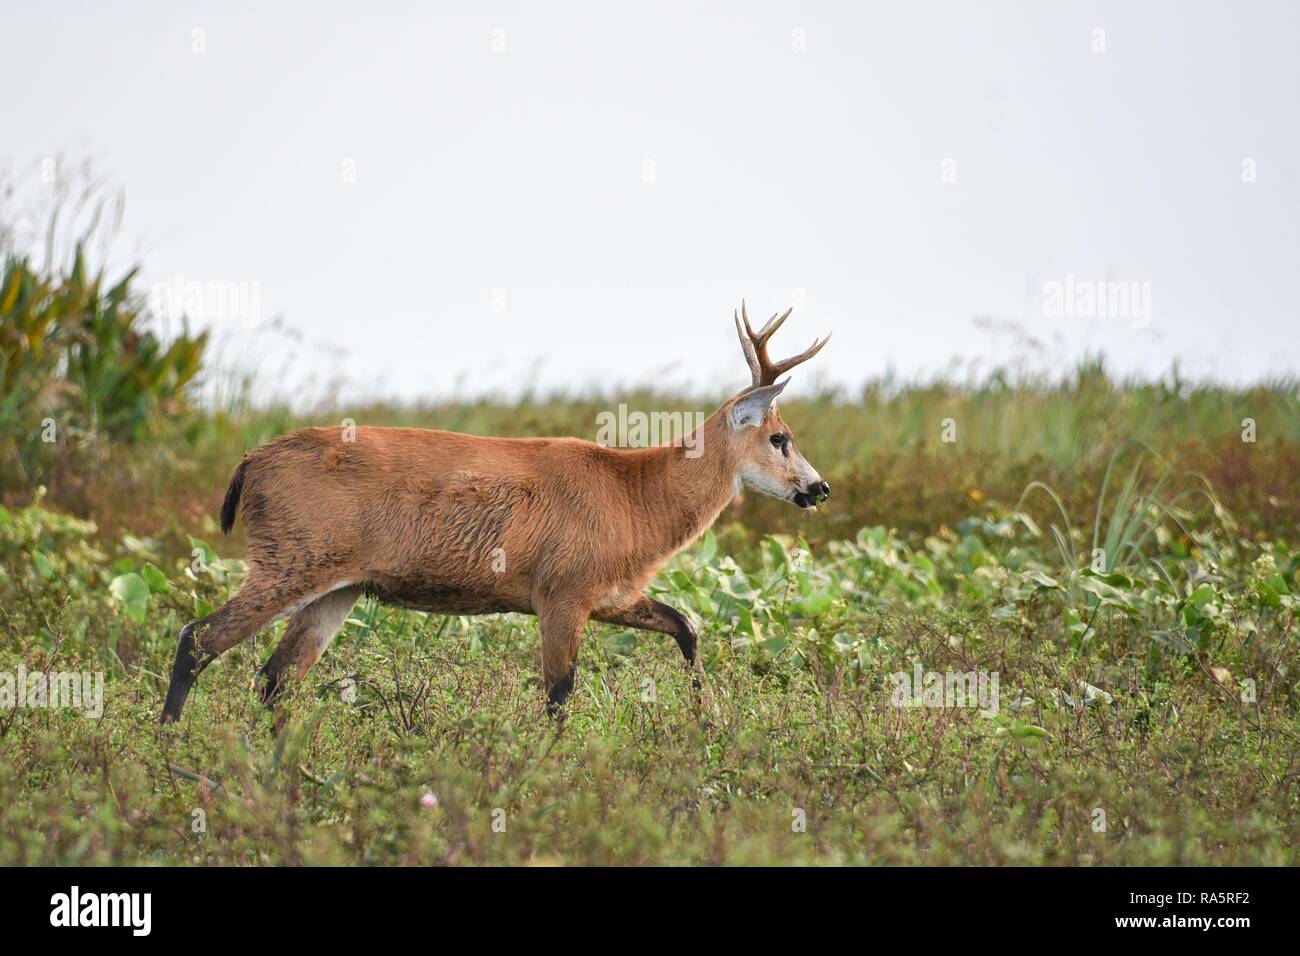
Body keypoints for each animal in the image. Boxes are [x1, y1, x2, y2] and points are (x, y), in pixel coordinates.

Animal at [160, 304, 830, 725]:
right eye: (780, 437)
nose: (819, 488)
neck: (636, 496)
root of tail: (251, 461)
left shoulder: (606, 593)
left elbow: (686, 624)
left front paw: (706, 719)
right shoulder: (562, 592)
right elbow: (559, 695)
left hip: (337, 588)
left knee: (274, 679)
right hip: (289, 562)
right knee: (198, 640)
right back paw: (169, 749)